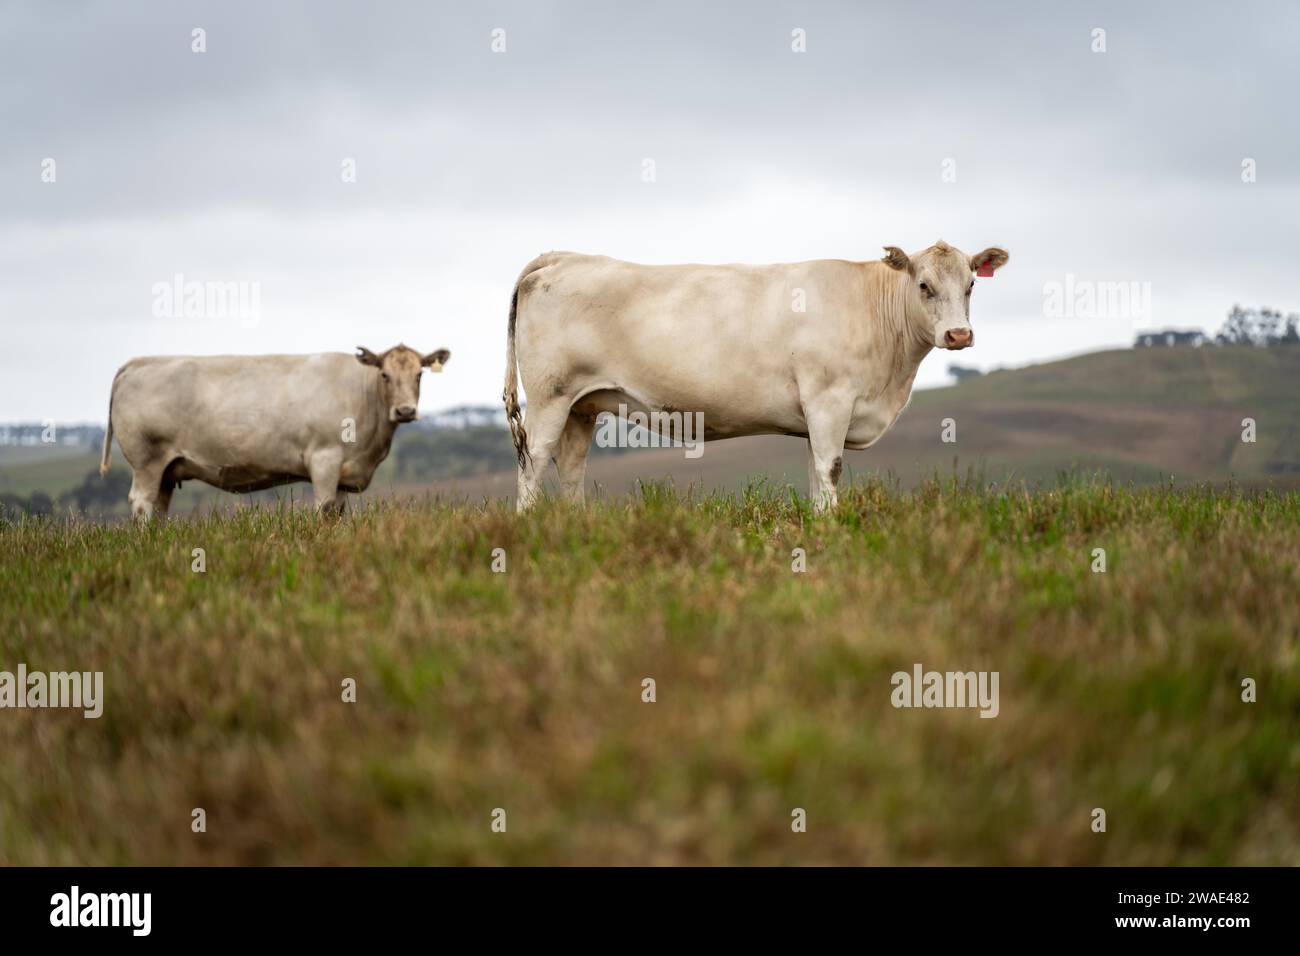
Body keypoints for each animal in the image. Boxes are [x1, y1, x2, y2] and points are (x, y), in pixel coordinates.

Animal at [101, 344, 451, 518]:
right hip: (146, 461)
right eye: (385, 375)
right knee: (142, 504)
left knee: (159, 507)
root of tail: (137, 363)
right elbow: (324, 510)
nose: (405, 411)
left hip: (167, 468)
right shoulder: (324, 459)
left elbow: (338, 513)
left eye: (419, 374)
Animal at [502, 241, 1007, 512]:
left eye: (971, 284)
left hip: (581, 405)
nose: (959, 334)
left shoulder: (818, 413)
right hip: (549, 396)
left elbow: (816, 471)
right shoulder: (830, 399)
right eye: (924, 285)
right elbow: (831, 468)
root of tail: (564, 257)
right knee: (533, 462)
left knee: (570, 466)